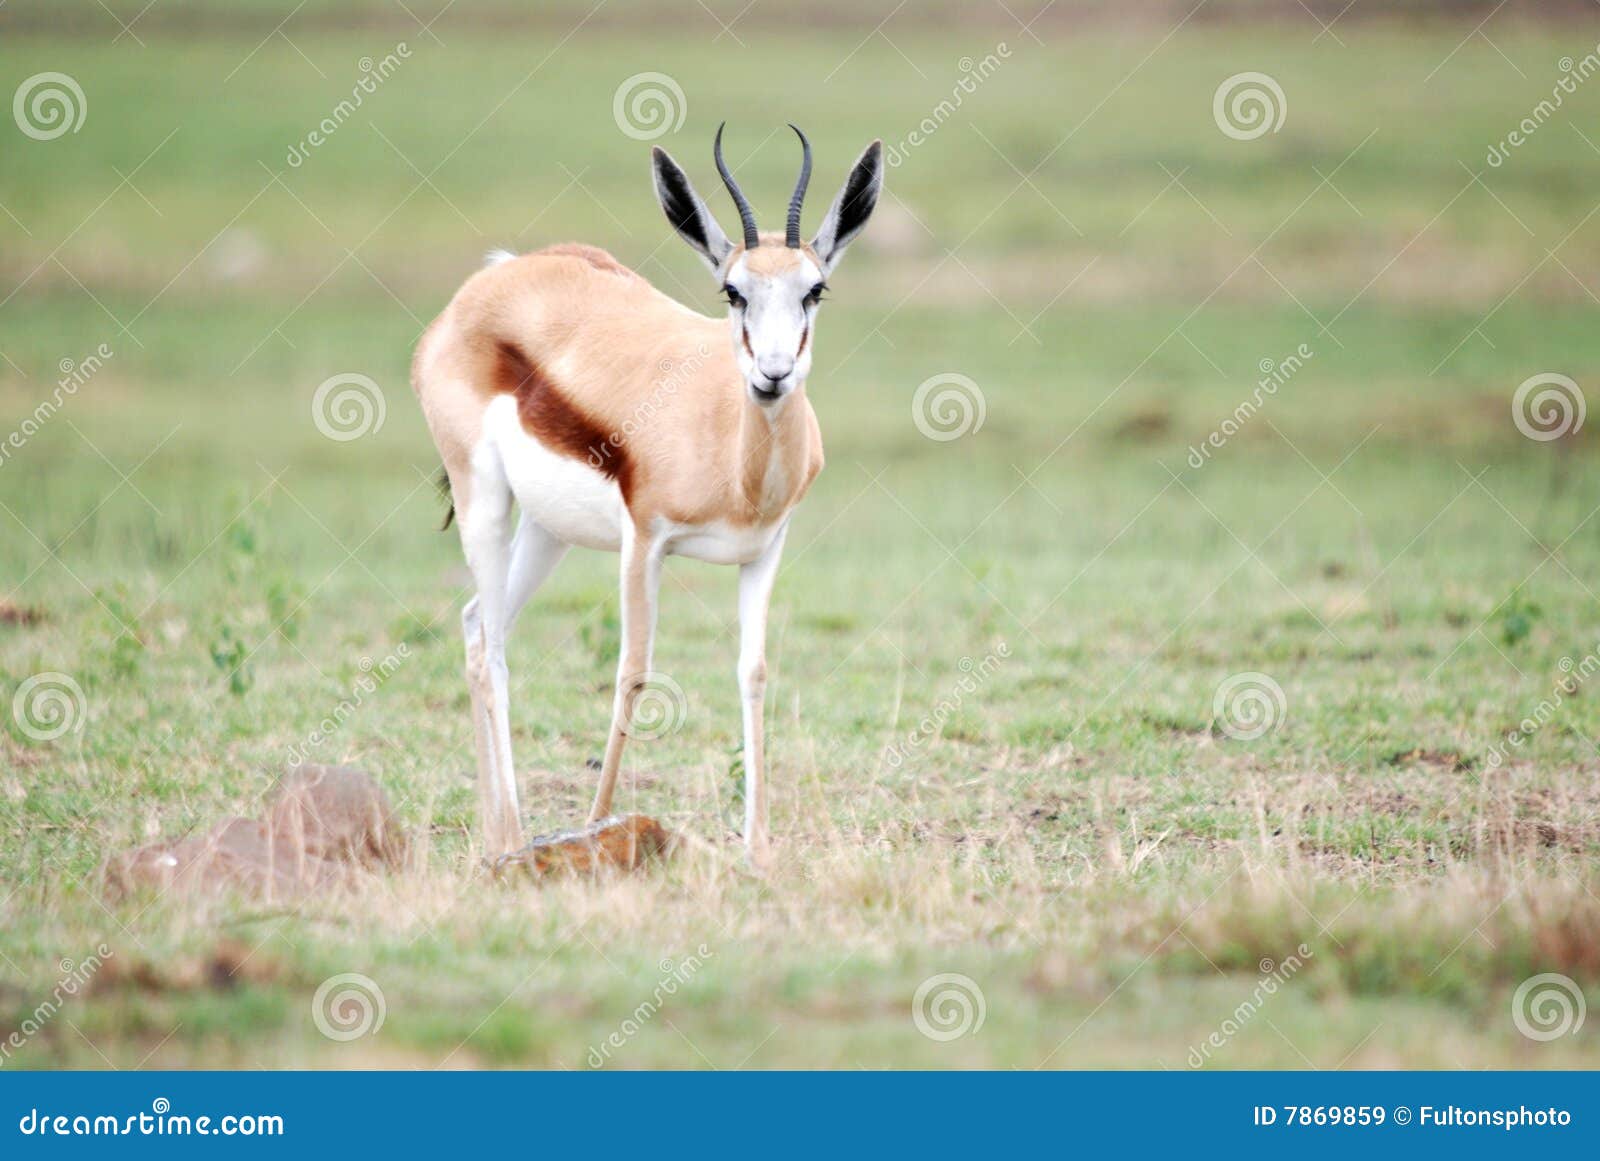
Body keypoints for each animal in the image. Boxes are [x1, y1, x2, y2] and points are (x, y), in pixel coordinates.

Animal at [411, 124, 884, 864]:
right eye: (733, 292)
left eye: (815, 290)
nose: (774, 373)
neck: (733, 461)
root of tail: (492, 278)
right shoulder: (644, 541)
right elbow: (633, 671)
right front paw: (598, 825)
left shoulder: (764, 552)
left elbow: (753, 671)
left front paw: (757, 848)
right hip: (482, 498)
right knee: (492, 653)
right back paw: (514, 836)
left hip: (547, 530)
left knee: (474, 624)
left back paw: (493, 833)